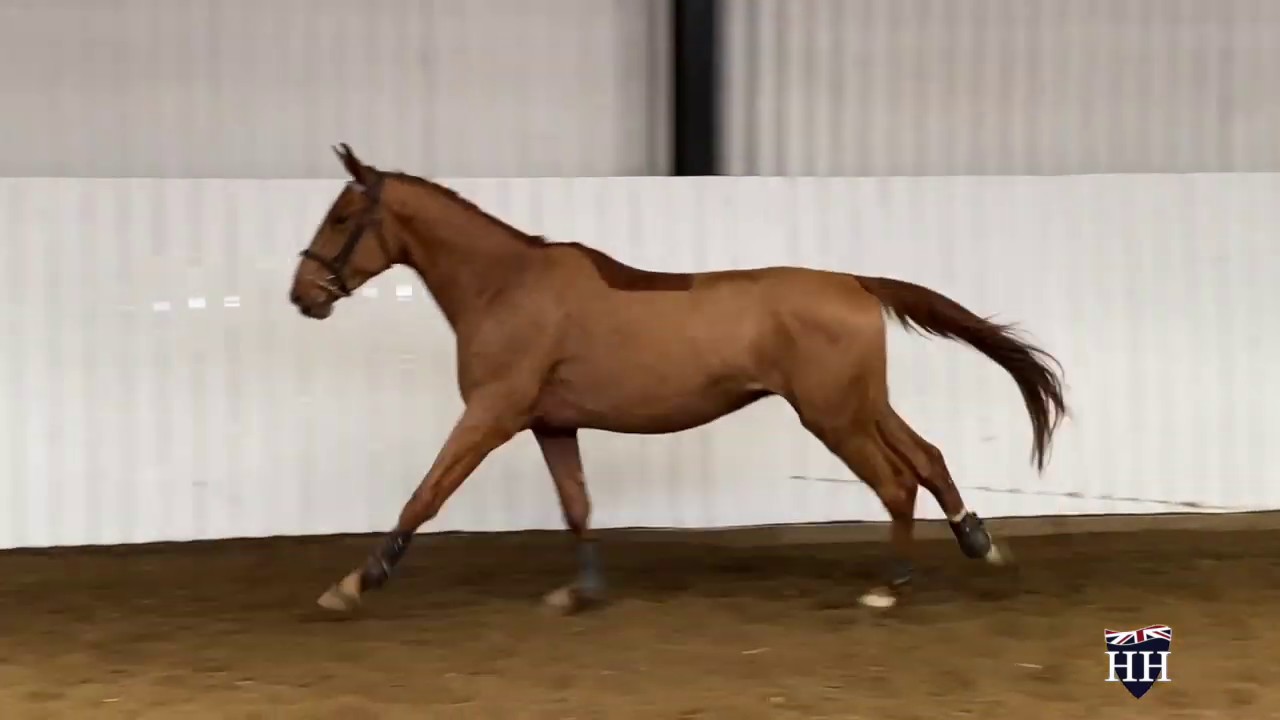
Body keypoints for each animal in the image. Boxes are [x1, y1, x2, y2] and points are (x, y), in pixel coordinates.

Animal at [289, 144, 1067, 614]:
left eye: (341, 215)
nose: (303, 296)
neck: (504, 286)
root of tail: (855, 282)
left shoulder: (492, 413)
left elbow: (425, 496)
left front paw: (354, 583)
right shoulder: (551, 423)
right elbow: (578, 505)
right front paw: (581, 592)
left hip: (831, 414)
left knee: (896, 481)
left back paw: (891, 587)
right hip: (857, 402)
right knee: (926, 457)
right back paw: (979, 542)